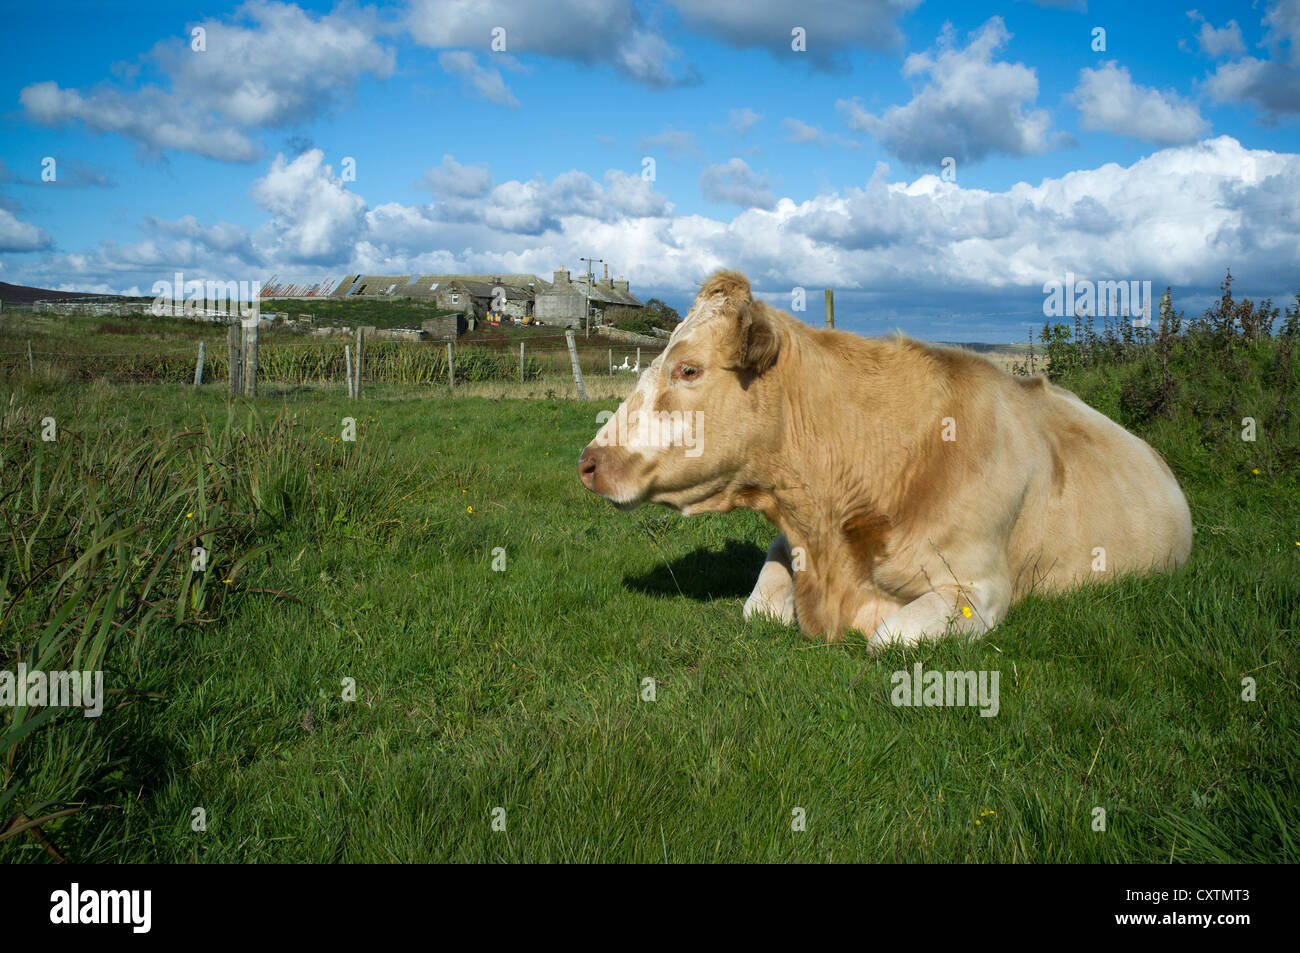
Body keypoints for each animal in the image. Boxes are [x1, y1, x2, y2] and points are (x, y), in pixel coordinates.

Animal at [579, 271, 1196, 650]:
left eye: (688, 369)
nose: (588, 461)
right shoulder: (789, 541)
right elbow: (759, 608)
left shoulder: (981, 589)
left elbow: (889, 637)